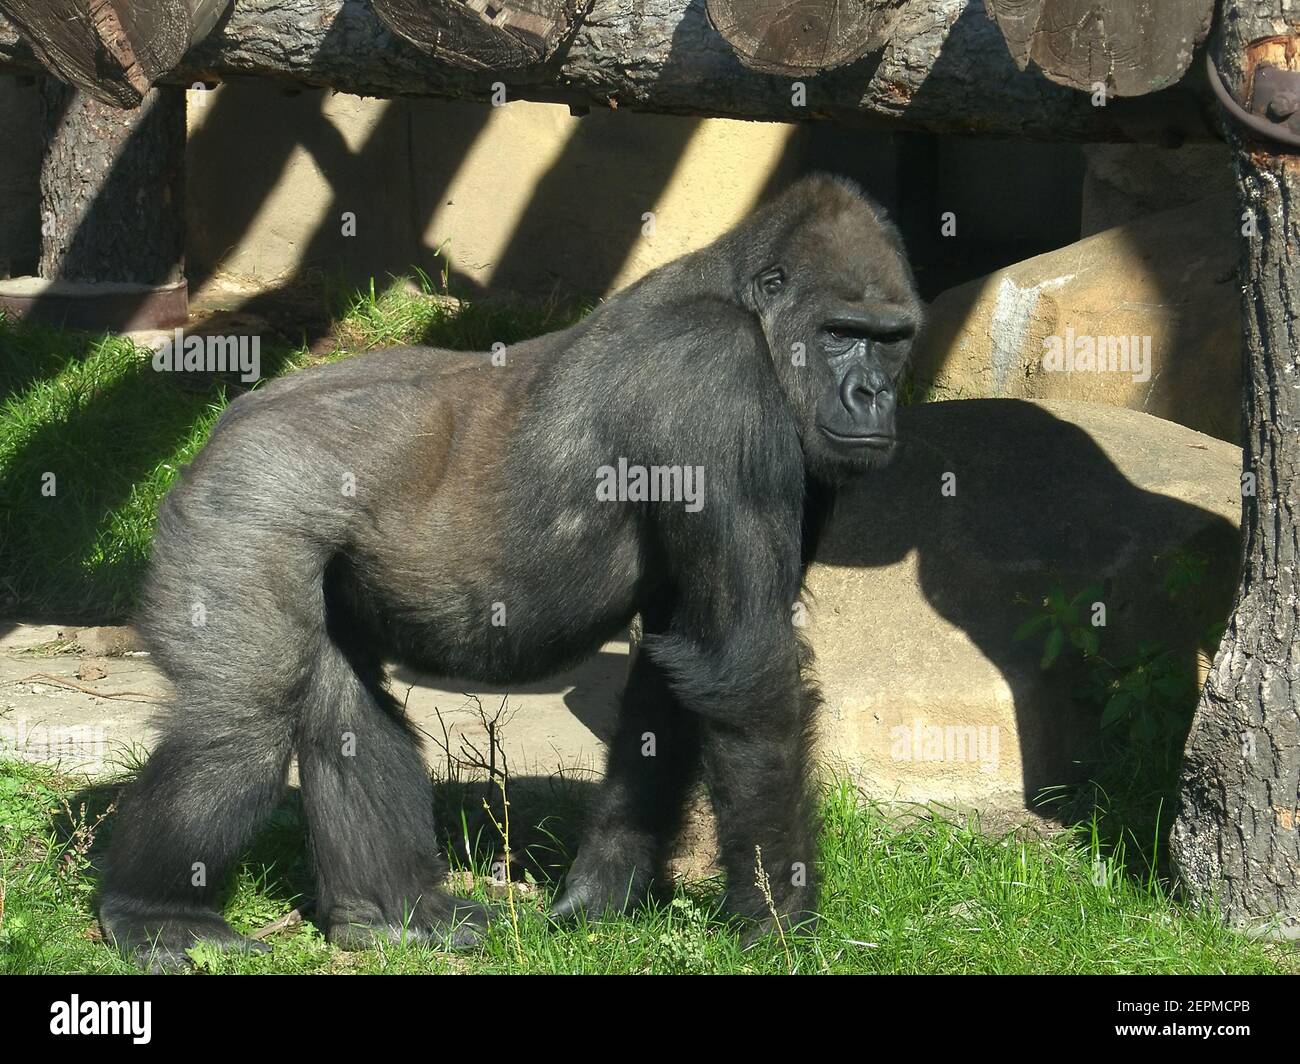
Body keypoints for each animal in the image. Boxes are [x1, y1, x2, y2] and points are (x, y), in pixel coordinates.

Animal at [98, 173, 923, 969]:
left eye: (894, 341)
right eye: (842, 334)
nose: (874, 397)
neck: (747, 306)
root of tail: (224, 426)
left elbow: (676, 683)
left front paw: (600, 893)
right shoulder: (719, 384)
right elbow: (748, 677)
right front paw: (782, 924)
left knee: (339, 702)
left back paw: (394, 914)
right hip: (242, 502)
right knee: (239, 721)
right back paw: (153, 912)